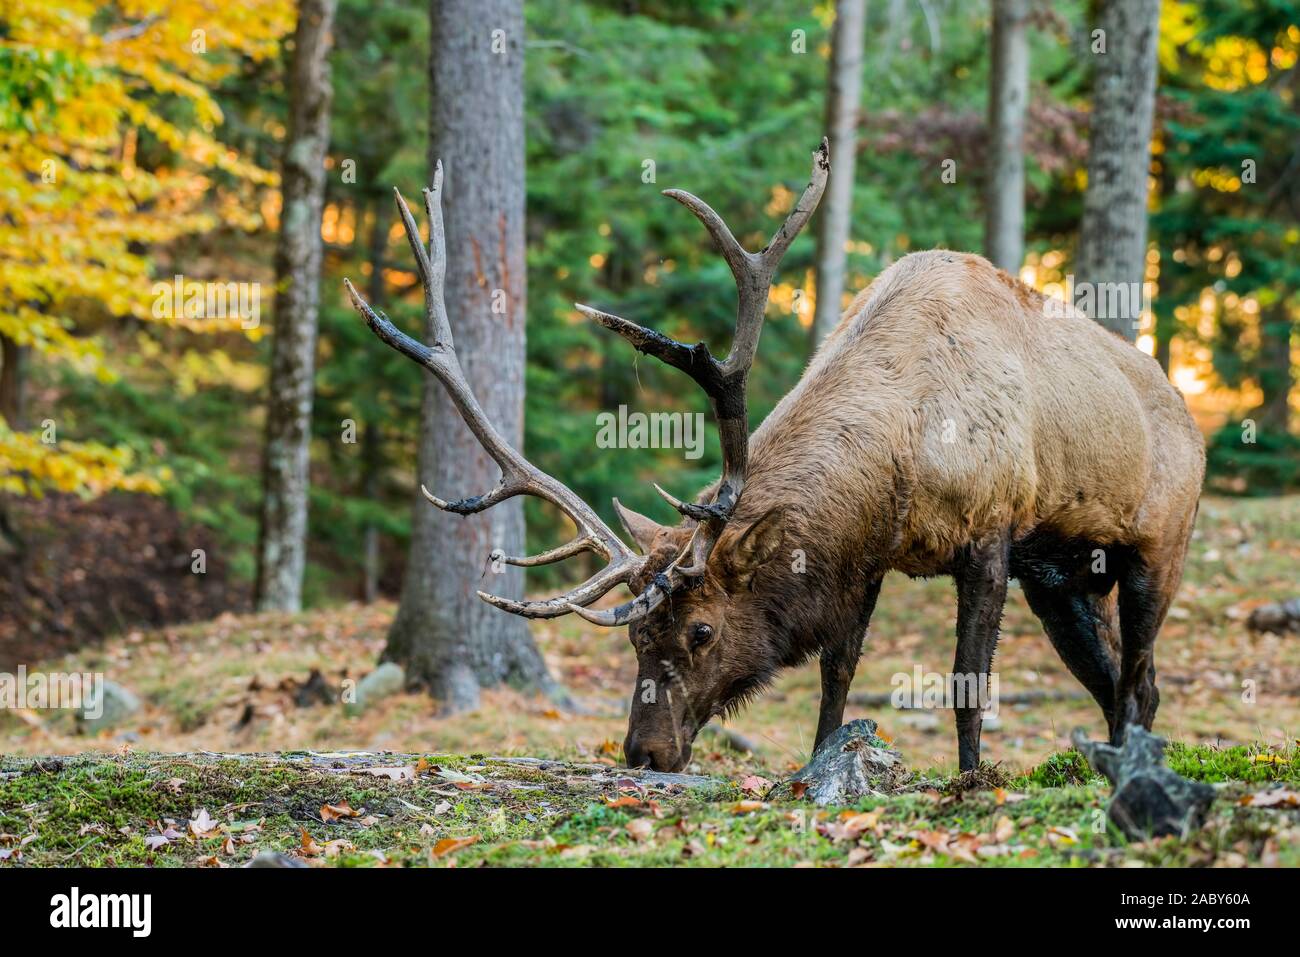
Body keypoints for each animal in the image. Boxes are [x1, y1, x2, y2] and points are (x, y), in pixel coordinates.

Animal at [345, 141, 1205, 774]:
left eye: (701, 630)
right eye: (634, 637)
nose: (645, 751)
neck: (909, 450)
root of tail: (1191, 415)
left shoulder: (991, 534)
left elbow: (966, 681)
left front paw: (970, 778)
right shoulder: (866, 556)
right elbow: (837, 674)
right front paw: (823, 763)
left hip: (1157, 545)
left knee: (1141, 676)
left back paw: (1133, 761)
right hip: (1062, 579)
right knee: (1120, 680)